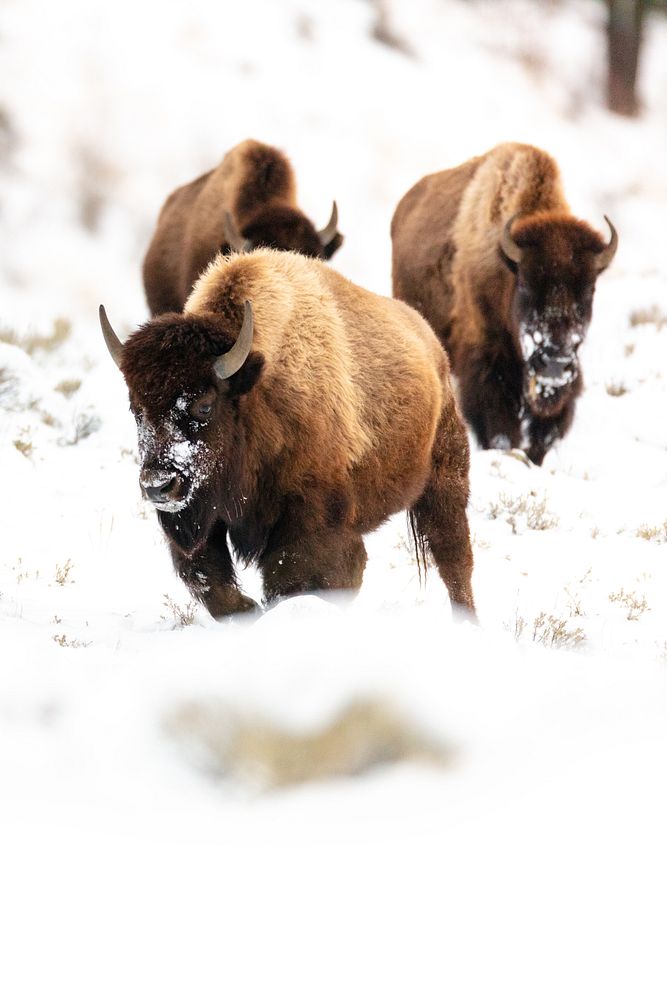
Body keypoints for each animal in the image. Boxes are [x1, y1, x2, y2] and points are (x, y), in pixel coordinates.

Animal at [101, 249, 475, 618]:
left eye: (205, 405)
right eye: (136, 408)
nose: (158, 486)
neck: (257, 393)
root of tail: (431, 345)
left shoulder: (312, 522)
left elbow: (296, 577)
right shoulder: (207, 522)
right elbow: (211, 583)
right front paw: (248, 610)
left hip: (444, 480)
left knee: (454, 558)